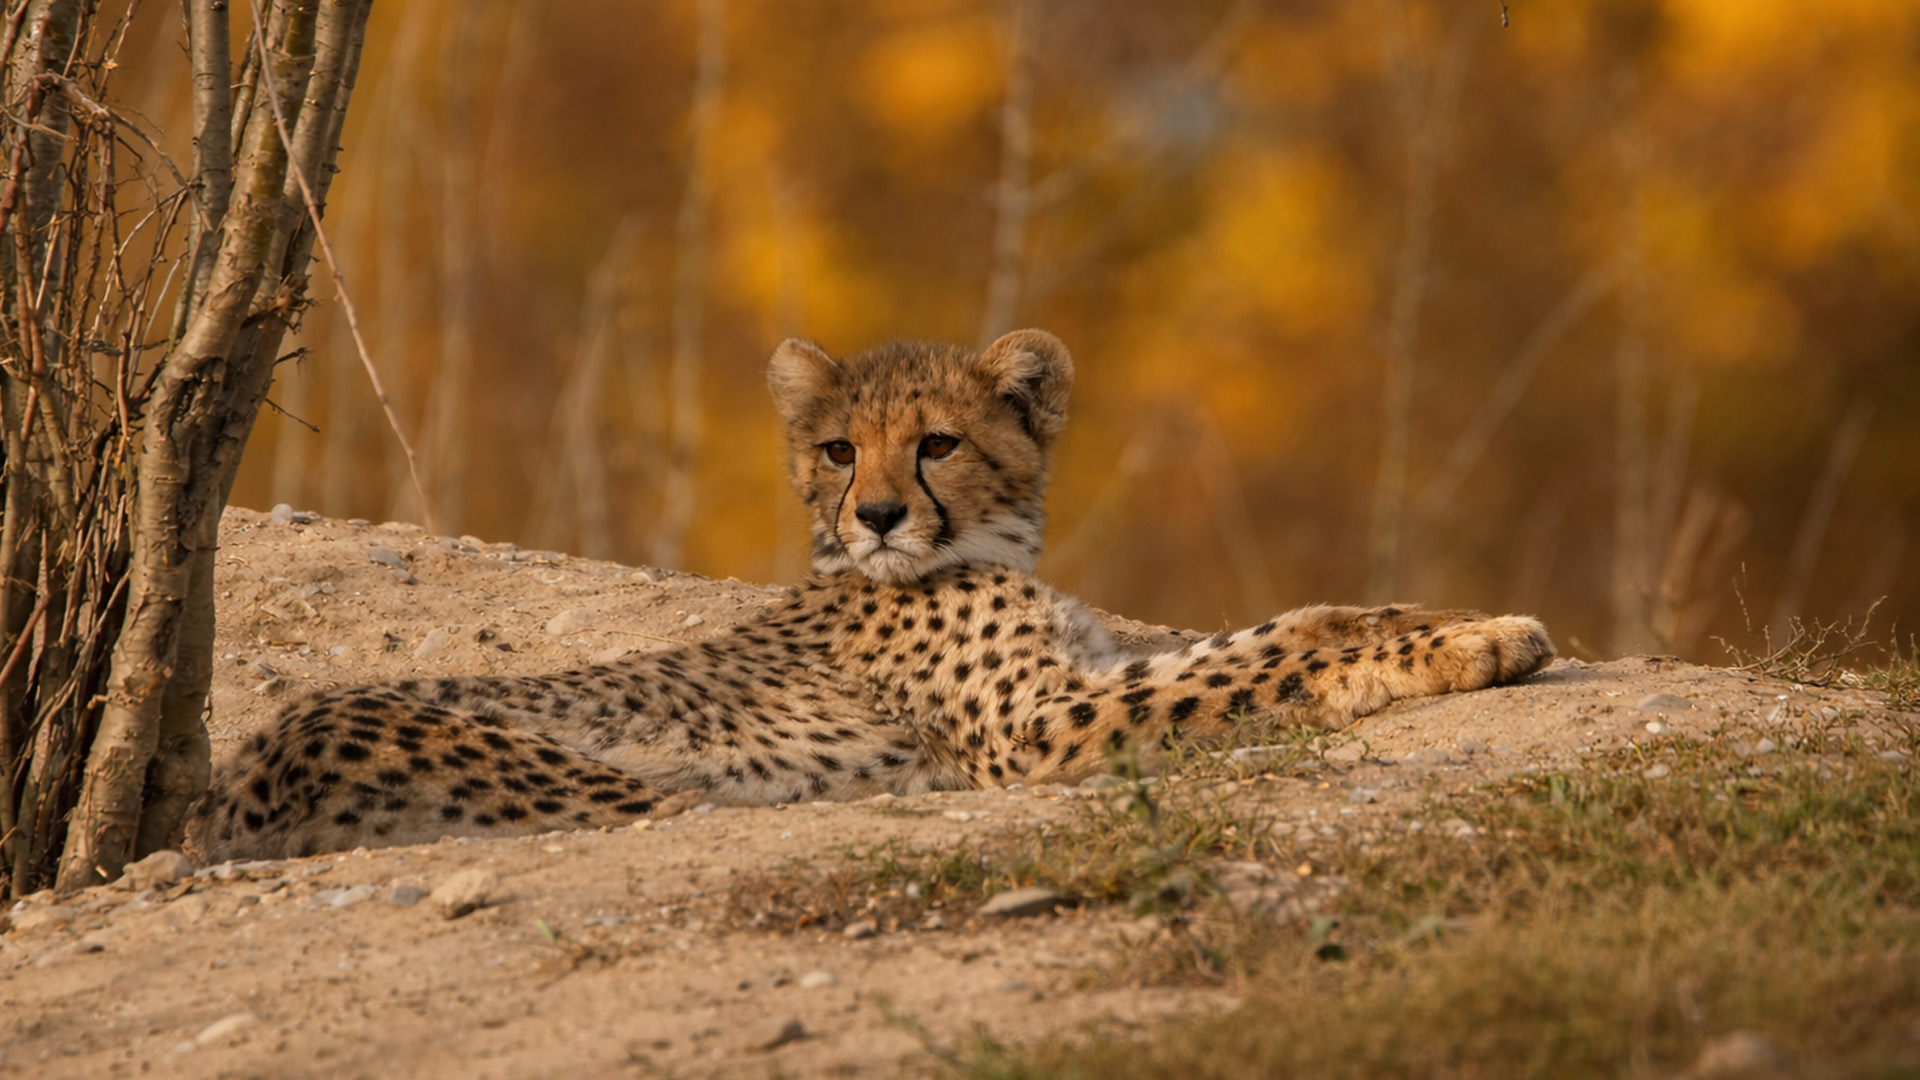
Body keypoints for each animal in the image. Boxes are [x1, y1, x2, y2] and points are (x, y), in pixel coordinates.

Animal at [186, 329, 1553, 861]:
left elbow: (1294, 623)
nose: (881, 515)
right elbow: (1269, 656)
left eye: (937, 443)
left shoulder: (1085, 669)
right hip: (580, 773)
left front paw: (1460, 623)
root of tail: (225, 787)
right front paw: (1466, 645)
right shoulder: (1036, 726)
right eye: (842, 450)